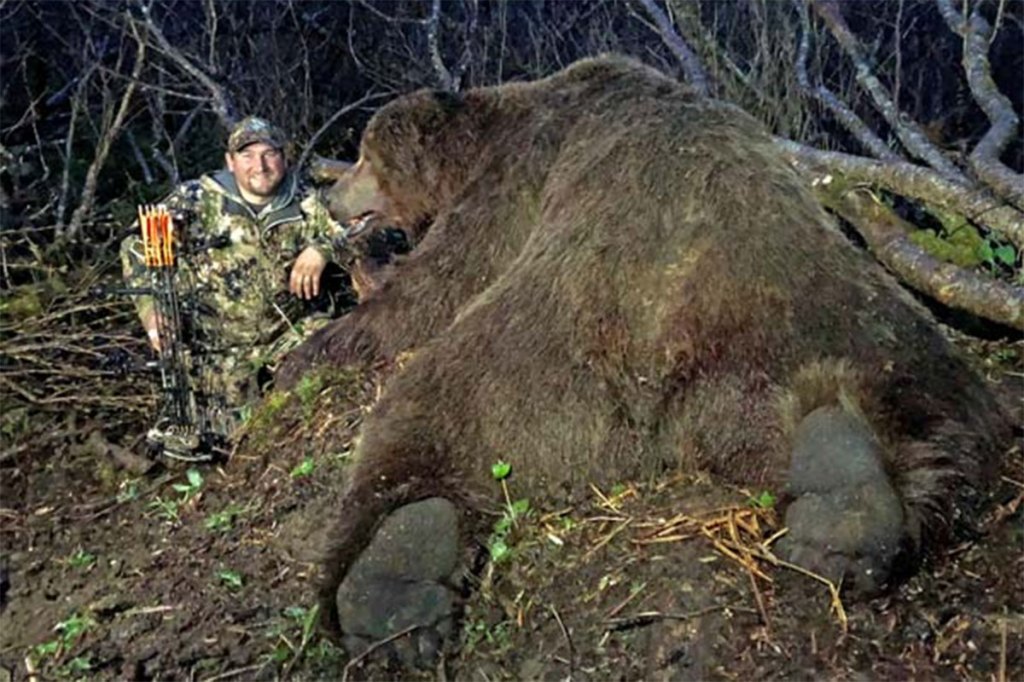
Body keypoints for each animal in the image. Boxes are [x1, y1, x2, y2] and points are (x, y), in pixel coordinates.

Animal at [276, 55, 1012, 665]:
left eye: (365, 155)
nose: (332, 195)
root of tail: (656, 383)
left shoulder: (516, 176)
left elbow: (441, 282)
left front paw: (309, 352)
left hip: (537, 344)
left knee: (415, 411)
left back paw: (387, 586)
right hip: (820, 317)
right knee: (919, 398)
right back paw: (844, 505)